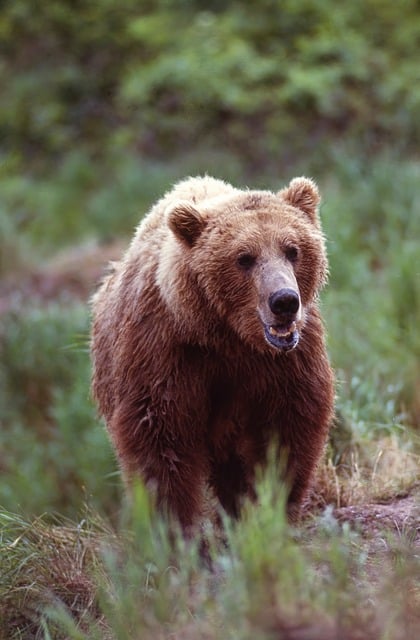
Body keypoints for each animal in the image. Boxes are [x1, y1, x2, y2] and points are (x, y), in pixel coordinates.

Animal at [91, 175, 334, 534]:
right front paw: (174, 527)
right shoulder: (165, 352)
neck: (228, 337)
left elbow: (286, 429)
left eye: (293, 250)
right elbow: (160, 436)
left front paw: (267, 509)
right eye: (244, 257)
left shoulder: (287, 361)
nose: (285, 301)